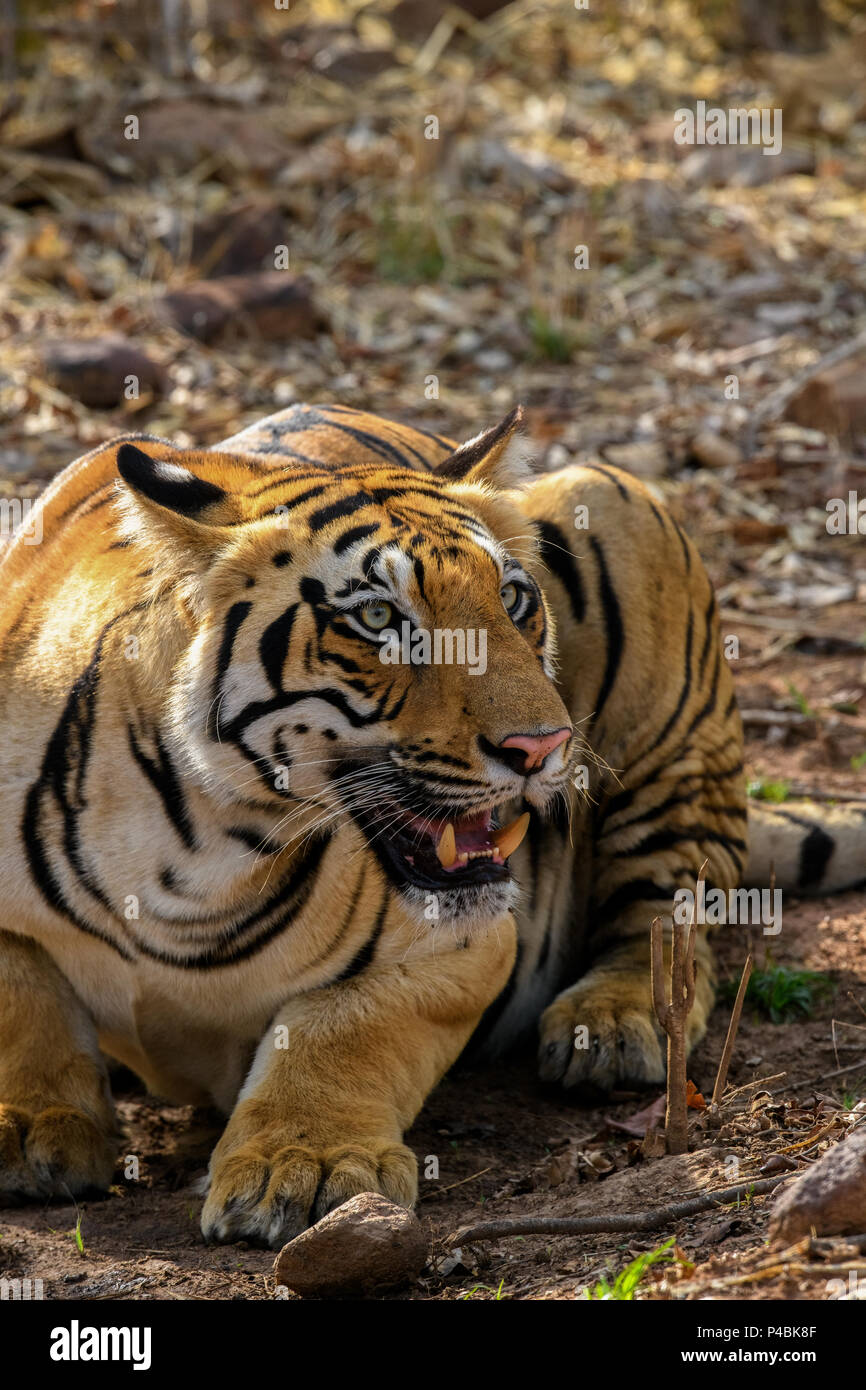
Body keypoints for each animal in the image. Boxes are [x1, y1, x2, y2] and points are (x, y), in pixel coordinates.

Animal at [0, 402, 862, 1249]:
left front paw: (301, 1163)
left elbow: (338, 1027)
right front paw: (27, 1125)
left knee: (673, 920)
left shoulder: (467, 945)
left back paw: (611, 1026)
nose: (544, 746)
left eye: (513, 599)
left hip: (626, 545)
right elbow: (28, 998)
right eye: (380, 617)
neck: (199, 850)